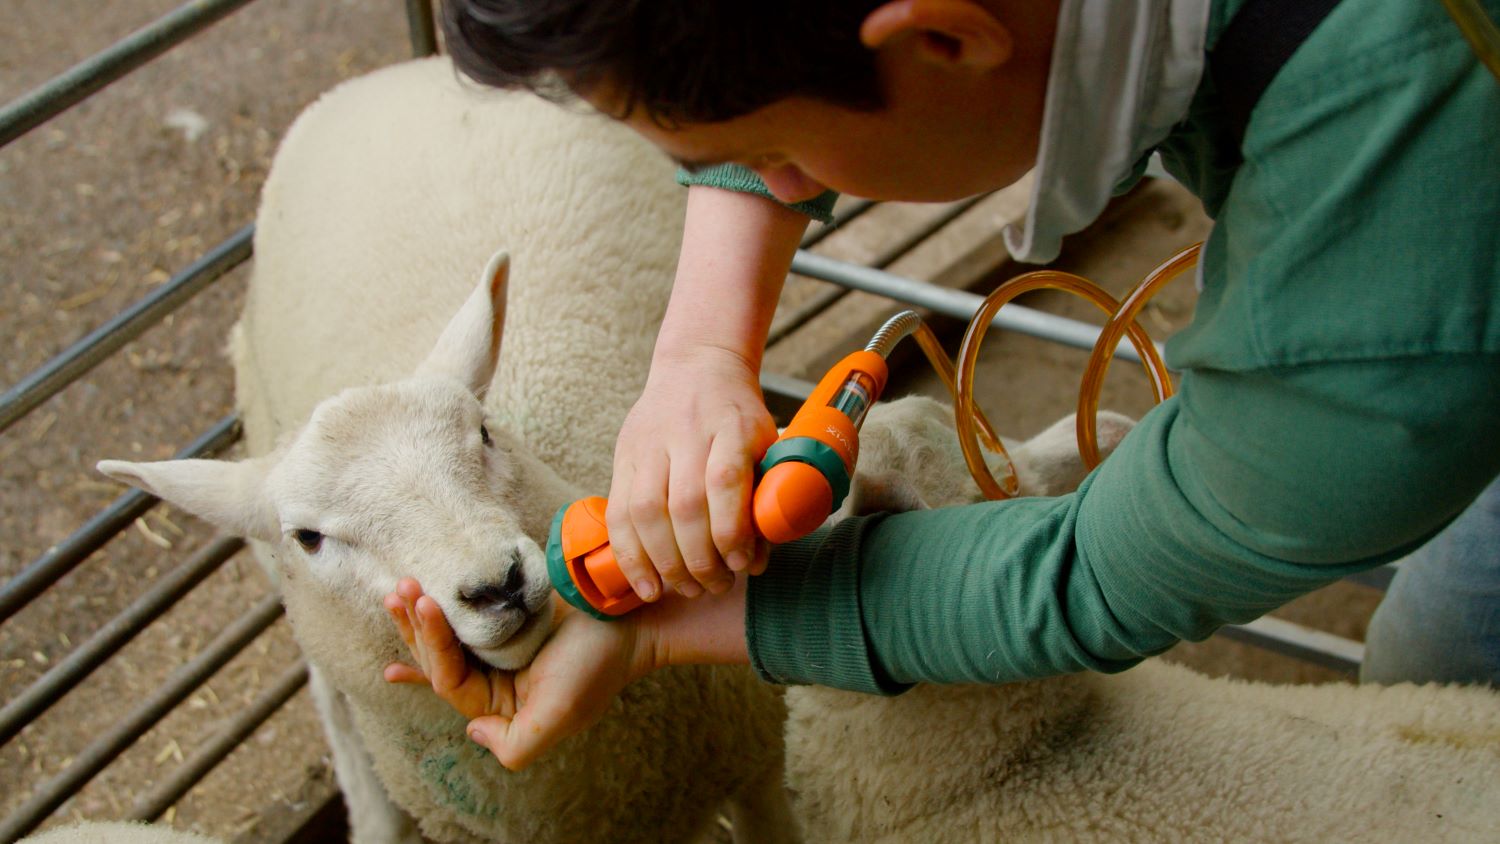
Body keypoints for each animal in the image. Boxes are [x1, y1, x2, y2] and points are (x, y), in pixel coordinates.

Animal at [98, 57, 794, 844]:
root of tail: (405, 72)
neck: (598, 786)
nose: (498, 584)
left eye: (483, 433)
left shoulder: (753, 755)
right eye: (308, 537)